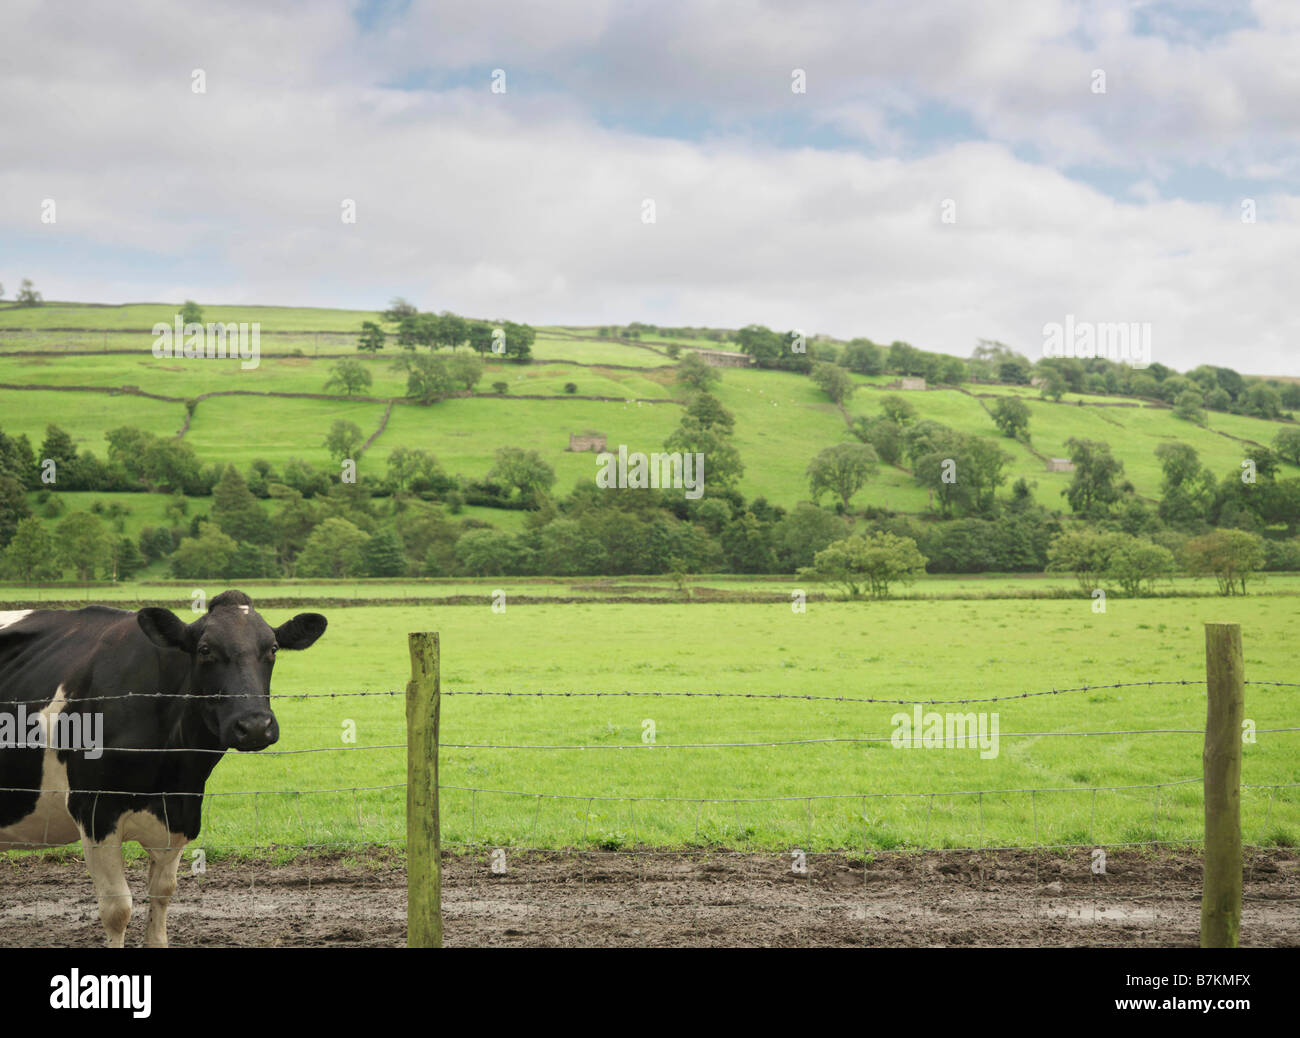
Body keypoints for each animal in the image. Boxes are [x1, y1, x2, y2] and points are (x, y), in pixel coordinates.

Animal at [0, 590, 326, 947]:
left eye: (273, 648)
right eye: (205, 650)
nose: (255, 726)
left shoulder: (181, 816)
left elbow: (162, 895)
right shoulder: (94, 812)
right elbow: (117, 909)